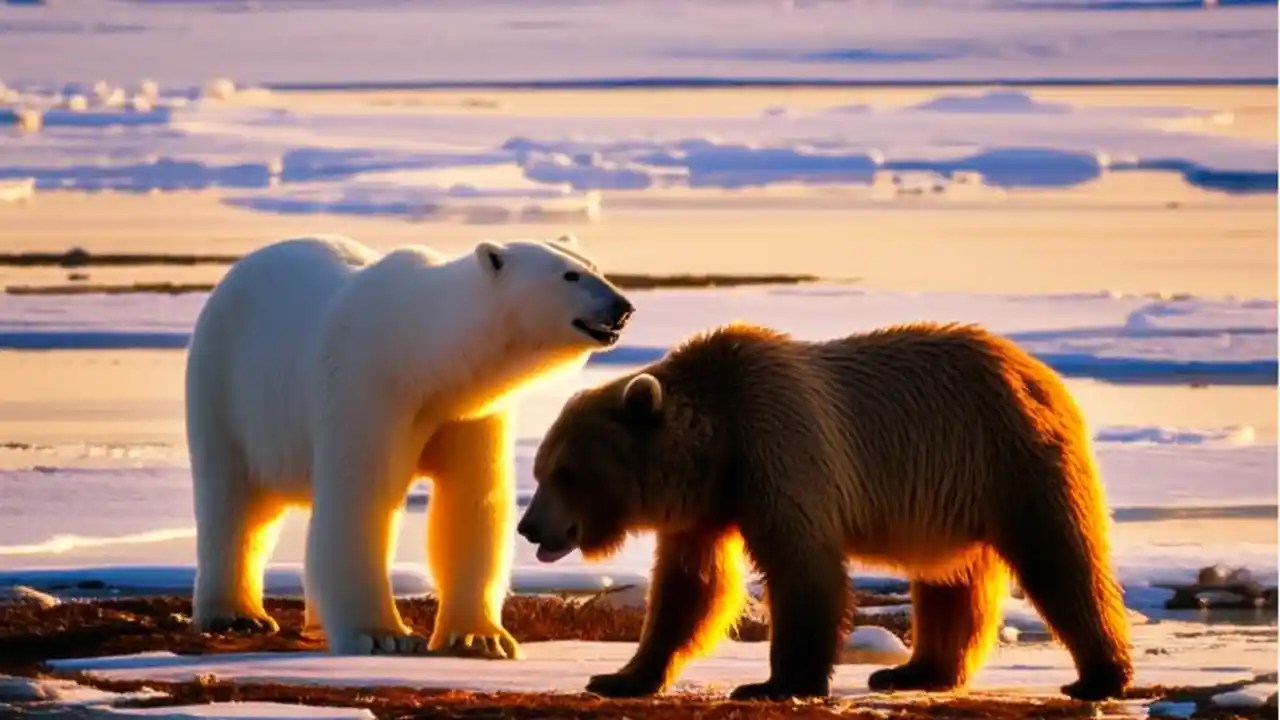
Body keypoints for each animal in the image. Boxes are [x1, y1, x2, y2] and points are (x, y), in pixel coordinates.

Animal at [185, 233, 632, 657]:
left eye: (595, 266)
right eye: (569, 276)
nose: (622, 306)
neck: (420, 353)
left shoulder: (469, 410)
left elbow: (472, 499)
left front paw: (481, 638)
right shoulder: (367, 384)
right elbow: (361, 497)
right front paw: (382, 636)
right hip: (226, 384)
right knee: (233, 499)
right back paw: (237, 614)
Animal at [518, 322, 1133, 701]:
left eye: (566, 473)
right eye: (541, 469)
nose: (528, 526)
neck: (719, 445)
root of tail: (1042, 372)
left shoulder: (780, 448)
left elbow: (801, 568)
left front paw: (777, 682)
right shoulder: (706, 507)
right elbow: (690, 588)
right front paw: (620, 675)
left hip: (1012, 455)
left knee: (1060, 560)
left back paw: (1099, 676)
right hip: (956, 495)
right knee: (951, 582)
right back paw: (913, 670)